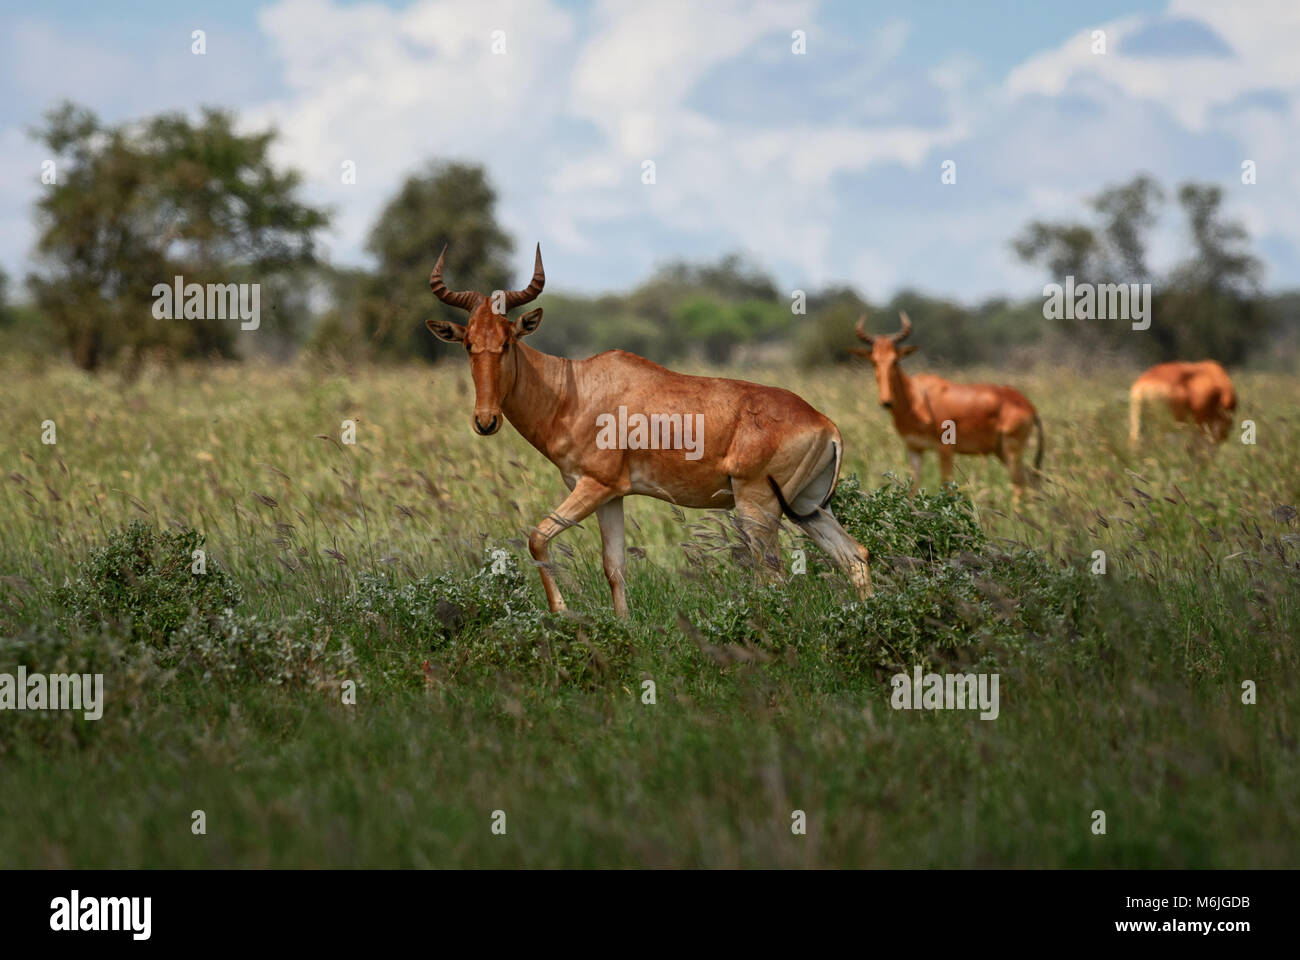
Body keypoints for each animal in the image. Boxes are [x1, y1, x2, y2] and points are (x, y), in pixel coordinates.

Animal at [426, 244, 872, 616]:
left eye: (507, 341)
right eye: (468, 343)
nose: (486, 421)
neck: (574, 388)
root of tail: (826, 424)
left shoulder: (593, 486)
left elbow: (537, 537)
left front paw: (562, 613)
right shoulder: (610, 496)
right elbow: (615, 567)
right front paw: (622, 626)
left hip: (757, 506)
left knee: (775, 574)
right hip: (808, 507)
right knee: (854, 555)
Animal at [850, 312, 1043, 499]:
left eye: (895, 360)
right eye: (873, 360)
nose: (886, 401)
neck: (916, 398)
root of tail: (1029, 406)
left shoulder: (945, 450)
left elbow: (946, 487)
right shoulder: (914, 449)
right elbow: (912, 488)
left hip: (1011, 450)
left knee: (1019, 485)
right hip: (1001, 451)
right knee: (1029, 481)